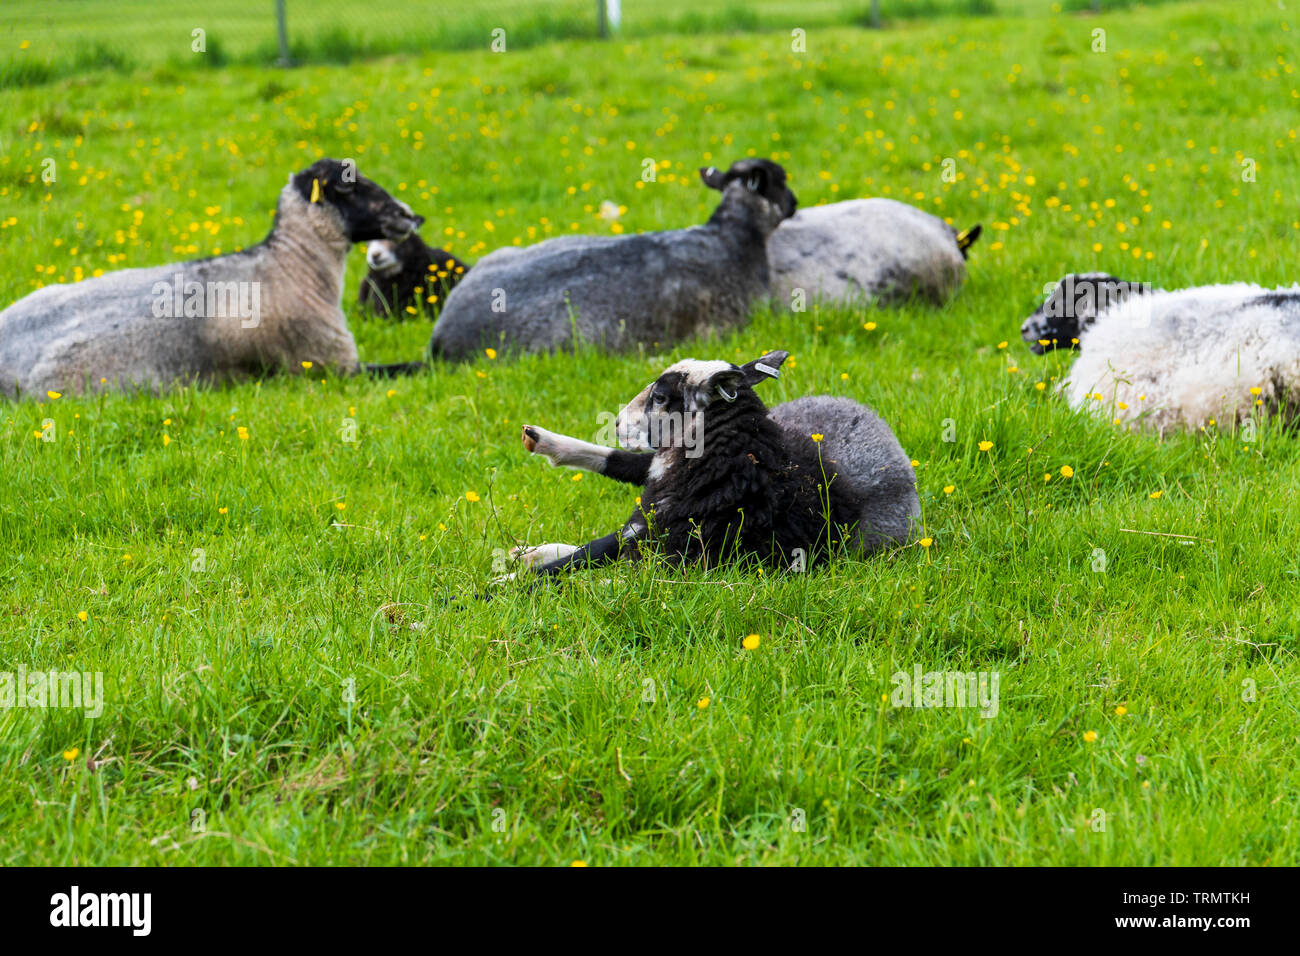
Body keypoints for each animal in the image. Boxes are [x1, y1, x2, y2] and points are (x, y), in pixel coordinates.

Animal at [509, 349, 920, 579]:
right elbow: (584, 557)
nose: (617, 423)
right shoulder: (646, 528)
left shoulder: (677, 560)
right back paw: (542, 445)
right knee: (628, 468)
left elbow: (580, 575)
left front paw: (504, 589)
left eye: (661, 397)